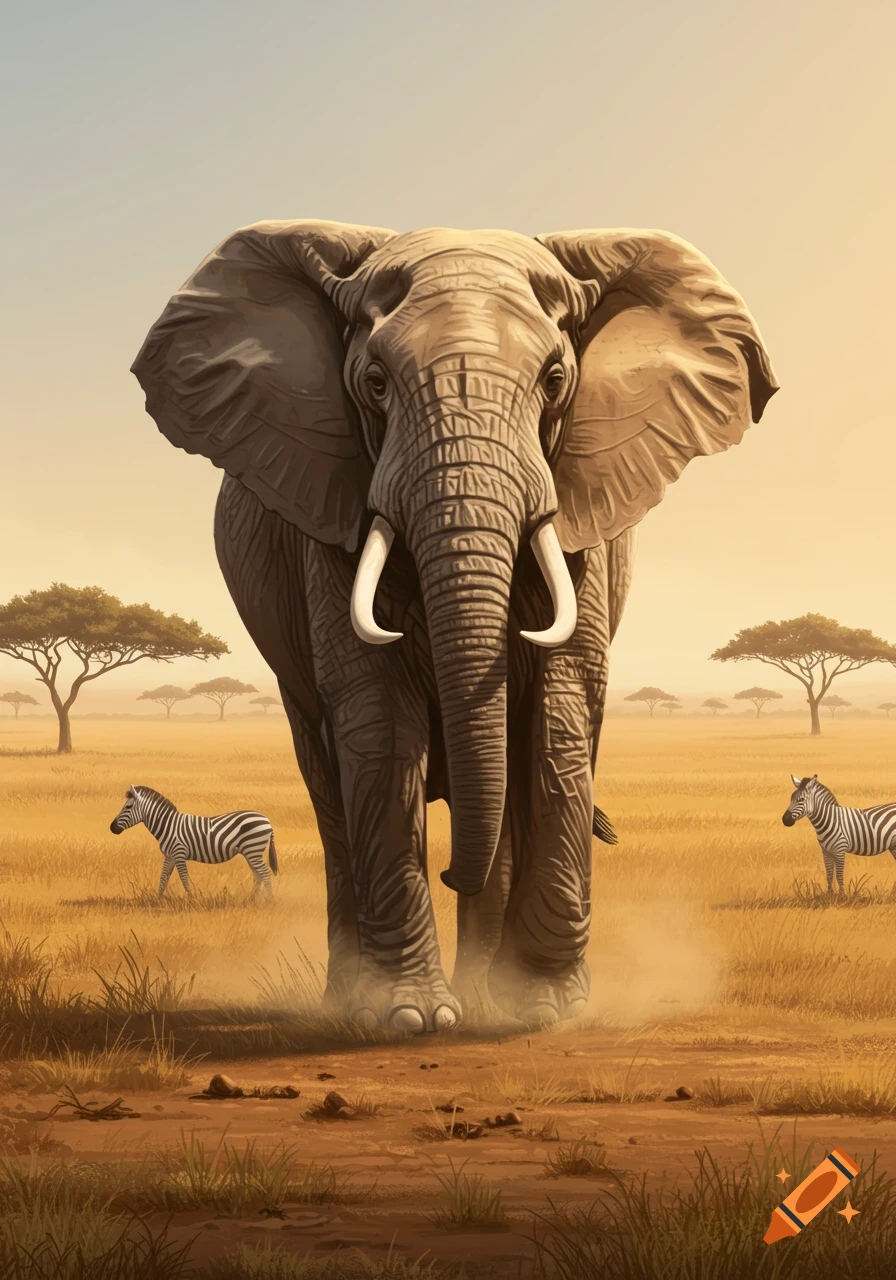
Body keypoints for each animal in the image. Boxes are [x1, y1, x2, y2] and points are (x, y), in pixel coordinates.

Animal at [110, 785, 278, 898]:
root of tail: (267, 820)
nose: (112, 828)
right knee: (257, 876)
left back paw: (270, 902)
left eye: (128, 806)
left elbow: (184, 879)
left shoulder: (179, 853)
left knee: (264, 873)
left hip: (253, 850)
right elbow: (163, 878)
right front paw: (158, 900)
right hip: (250, 852)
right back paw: (250, 901)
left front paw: (191, 900)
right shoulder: (169, 855)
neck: (168, 825)